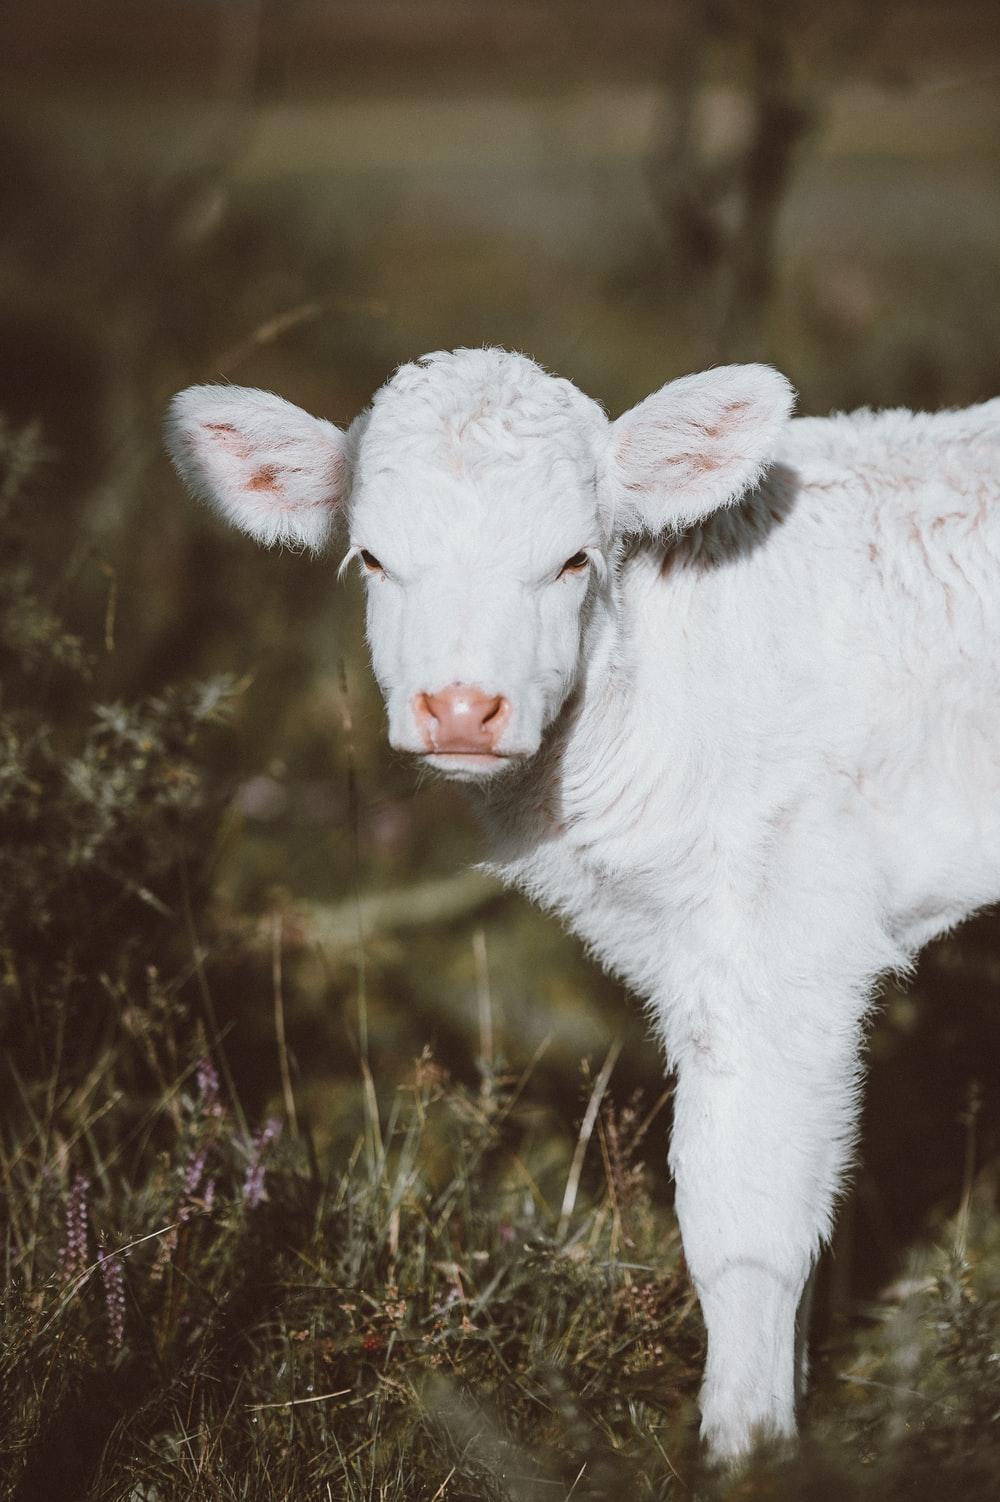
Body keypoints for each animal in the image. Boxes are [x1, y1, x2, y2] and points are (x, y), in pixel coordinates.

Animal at [166, 347, 1000, 1463]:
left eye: (571, 561)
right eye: (374, 559)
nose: (460, 708)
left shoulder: (782, 936)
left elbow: (746, 1213)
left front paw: (744, 1450)